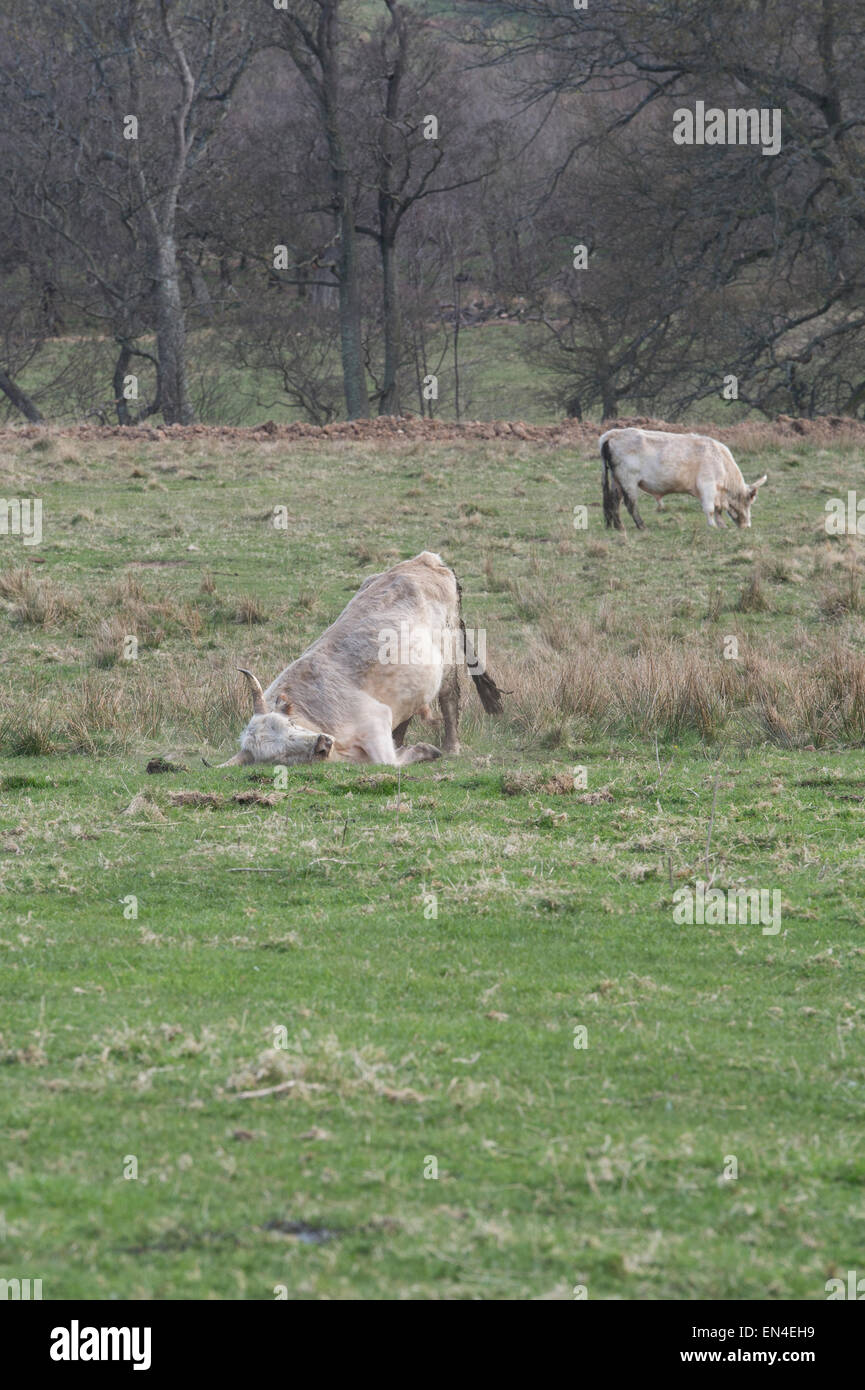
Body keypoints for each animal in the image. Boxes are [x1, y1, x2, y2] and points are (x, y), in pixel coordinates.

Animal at [218, 551, 503, 767]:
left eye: (290, 724)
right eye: (281, 754)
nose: (321, 743)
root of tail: (426, 559)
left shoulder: (376, 719)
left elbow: (388, 761)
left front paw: (425, 750)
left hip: (449, 654)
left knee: (449, 698)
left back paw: (451, 746)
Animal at [600, 428, 767, 531]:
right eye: (748, 502)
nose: (747, 525)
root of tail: (613, 434)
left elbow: (718, 510)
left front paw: (722, 525)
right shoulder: (707, 485)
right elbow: (710, 509)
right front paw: (713, 526)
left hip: (616, 480)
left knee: (614, 501)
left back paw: (619, 526)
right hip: (628, 481)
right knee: (631, 504)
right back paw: (642, 526)